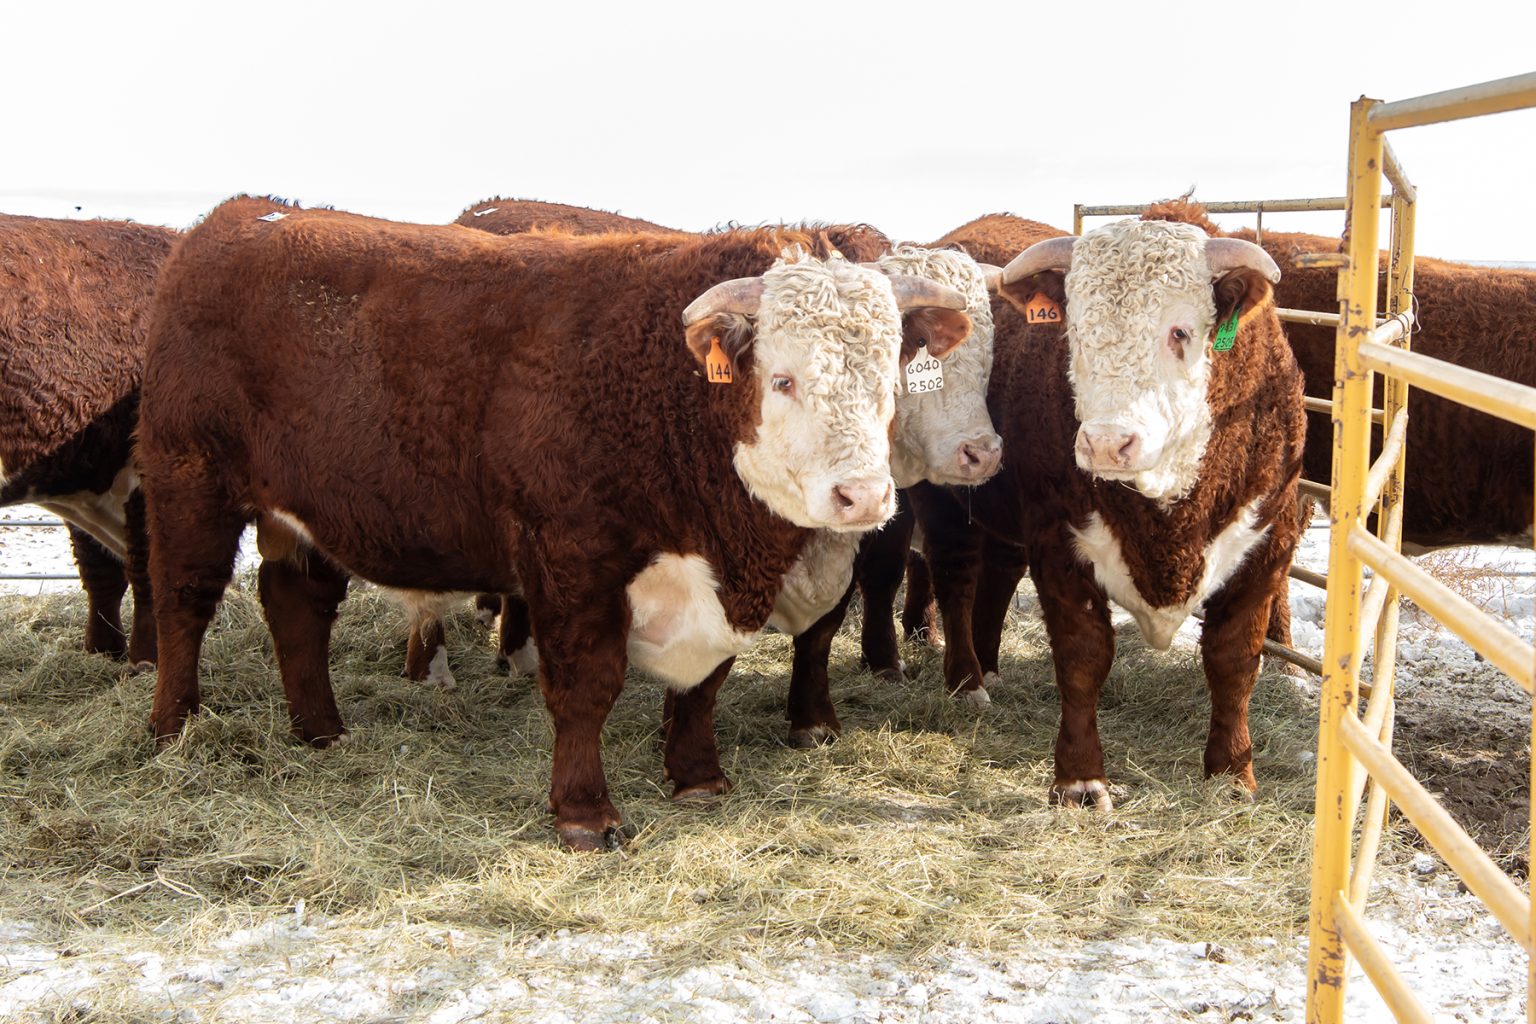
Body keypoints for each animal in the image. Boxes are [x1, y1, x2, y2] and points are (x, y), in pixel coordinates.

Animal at [138, 196, 972, 850]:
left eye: (891, 374)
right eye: (784, 379)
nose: (862, 496)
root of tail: (235, 220)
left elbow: (704, 686)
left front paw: (699, 778)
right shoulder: (571, 558)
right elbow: (586, 685)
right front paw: (584, 814)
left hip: (304, 509)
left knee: (296, 606)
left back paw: (320, 731)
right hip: (189, 480)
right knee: (184, 602)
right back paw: (172, 729)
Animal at [907, 216, 1305, 810]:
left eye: (1180, 332)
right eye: (1074, 332)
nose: (1106, 443)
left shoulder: (1266, 545)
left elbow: (1234, 661)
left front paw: (1233, 774)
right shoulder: (1059, 542)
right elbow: (1082, 656)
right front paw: (1079, 780)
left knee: (997, 573)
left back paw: (991, 665)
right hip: (943, 491)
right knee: (954, 575)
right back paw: (967, 681)